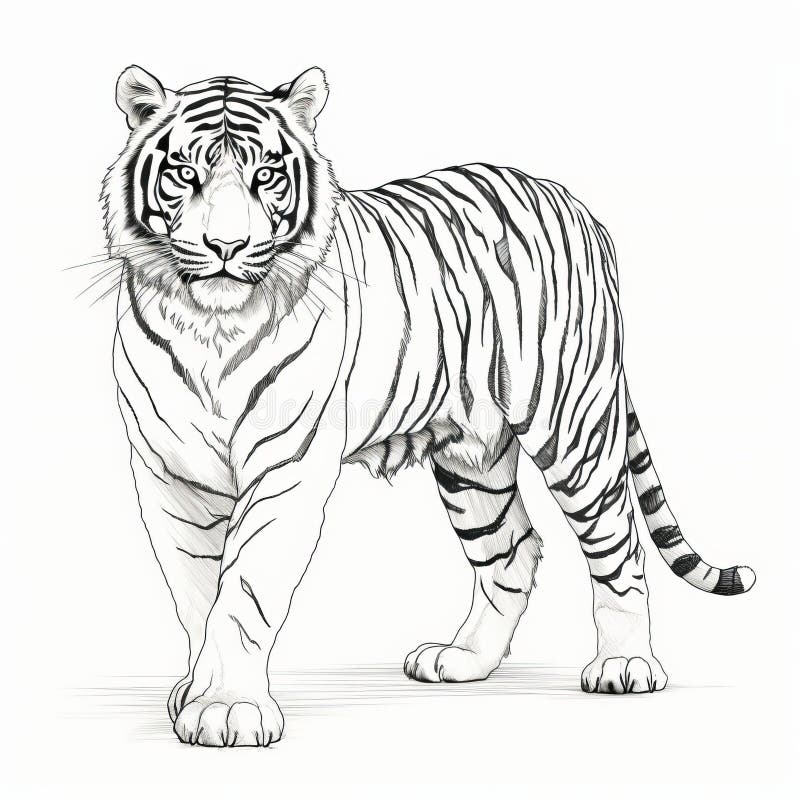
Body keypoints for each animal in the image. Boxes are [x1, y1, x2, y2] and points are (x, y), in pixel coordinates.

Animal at [103, 64, 755, 748]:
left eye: (267, 177)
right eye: (184, 174)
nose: (226, 246)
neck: (209, 327)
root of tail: (572, 203)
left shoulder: (285, 469)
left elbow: (243, 592)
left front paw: (231, 707)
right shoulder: (169, 474)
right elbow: (195, 591)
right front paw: (195, 694)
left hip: (572, 429)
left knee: (618, 542)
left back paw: (625, 664)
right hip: (473, 458)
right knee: (514, 547)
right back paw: (463, 658)